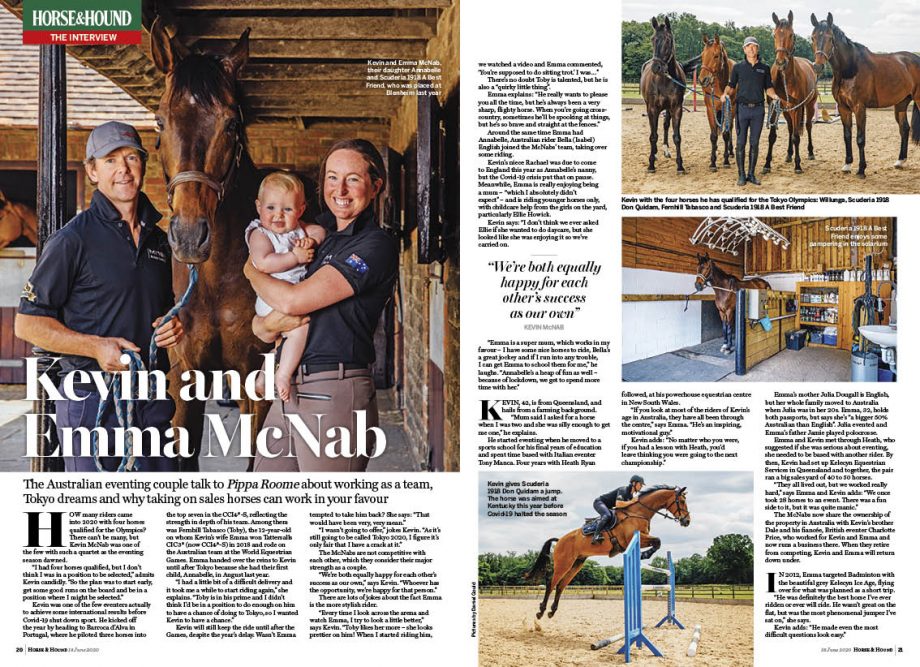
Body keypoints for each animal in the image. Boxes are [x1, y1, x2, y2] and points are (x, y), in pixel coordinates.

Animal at [523, 485, 690, 620]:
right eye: (681, 501)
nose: (687, 521)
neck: (638, 513)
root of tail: (559, 540)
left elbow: (657, 542)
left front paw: (644, 555)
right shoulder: (633, 539)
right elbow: (658, 541)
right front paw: (644, 555)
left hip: (577, 563)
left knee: (560, 586)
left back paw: (552, 611)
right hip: (563, 563)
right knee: (551, 584)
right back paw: (541, 611)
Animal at [640, 16, 687, 174]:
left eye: (668, 40)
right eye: (652, 39)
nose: (656, 67)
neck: (664, 80)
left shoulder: (676, 108)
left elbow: (677, 137)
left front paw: (680, 165)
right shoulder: (652, 109)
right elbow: (653, 136)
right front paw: (650, 164)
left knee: (666, 125)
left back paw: (666, 150)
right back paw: (654, 154)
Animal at [699, 34, 735, 171]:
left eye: (716, 56)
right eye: (702, 55)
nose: (702, 80)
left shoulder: (730, 108)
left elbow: (726, 133)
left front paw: (725, 161)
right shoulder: (710, 109)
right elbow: (713, 136)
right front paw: (713, 162)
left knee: (730, 129)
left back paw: (731, 152)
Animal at [765, 11, 817, 174]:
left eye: (792, 35)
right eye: (774, 35)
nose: (781, 62)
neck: (785, 79)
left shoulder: (797, 108)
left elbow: (796, 136)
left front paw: (798, 165)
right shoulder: (775, 106)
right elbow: (772, 136)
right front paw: (767, 164)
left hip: (809, 106)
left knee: (808, 126)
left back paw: (810, 152)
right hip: (787, 110)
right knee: (789, 129)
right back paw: (789, 154)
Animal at [810, 12, 920, 177]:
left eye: (830, 38)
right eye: (813, 37)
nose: (817, 66)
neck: (850, 68)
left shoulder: (859, 107)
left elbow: (860, 138)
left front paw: (861, 169)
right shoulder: (843, 108)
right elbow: (847, 136)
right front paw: (847, 164)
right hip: (901, 103)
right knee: (904, 129)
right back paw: (900, 161)